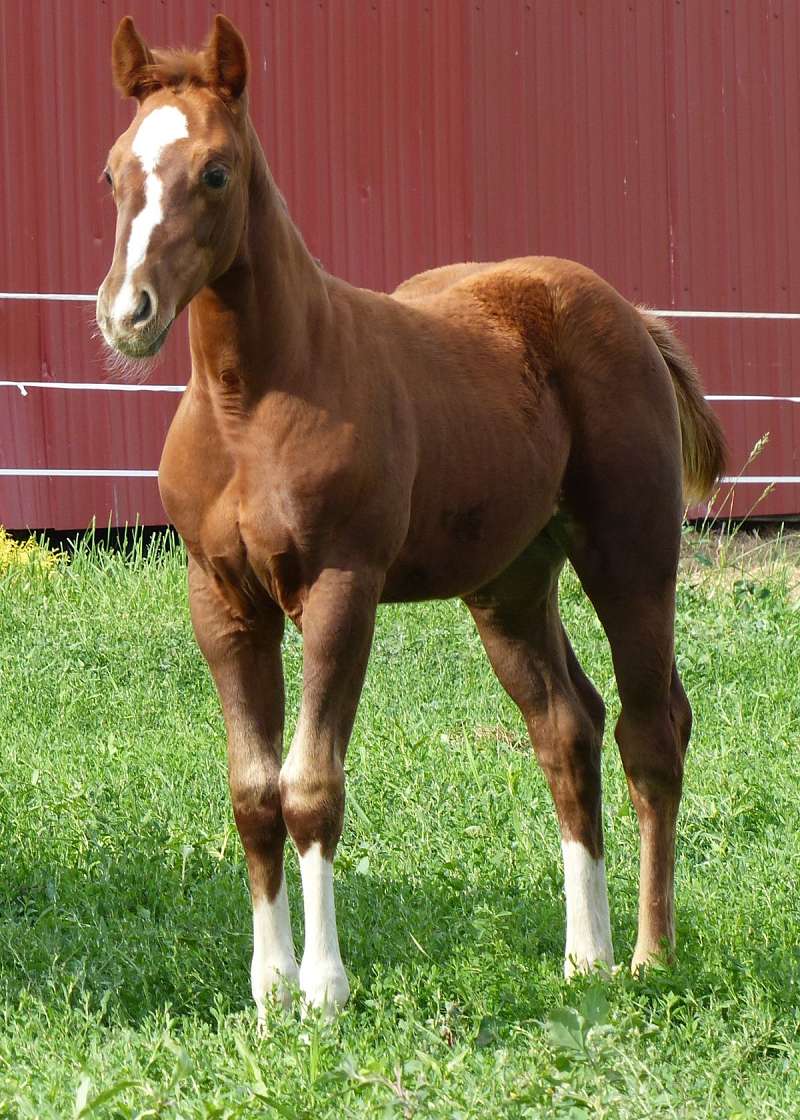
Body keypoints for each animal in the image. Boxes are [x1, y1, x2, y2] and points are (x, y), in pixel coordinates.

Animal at [96, 15, 726, 1022]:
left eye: (216, 173)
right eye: (114, 172)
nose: (128, 315)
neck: (249, 404)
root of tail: (628, 311)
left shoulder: (339, 590)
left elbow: (311, 786)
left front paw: (323, 990)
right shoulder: (222, 600)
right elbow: (252, 792)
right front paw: (267, 991)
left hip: (631, 555)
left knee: (650, 729)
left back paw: (648, 955)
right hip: (510, 586)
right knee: (568, 729)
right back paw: (583, 956)